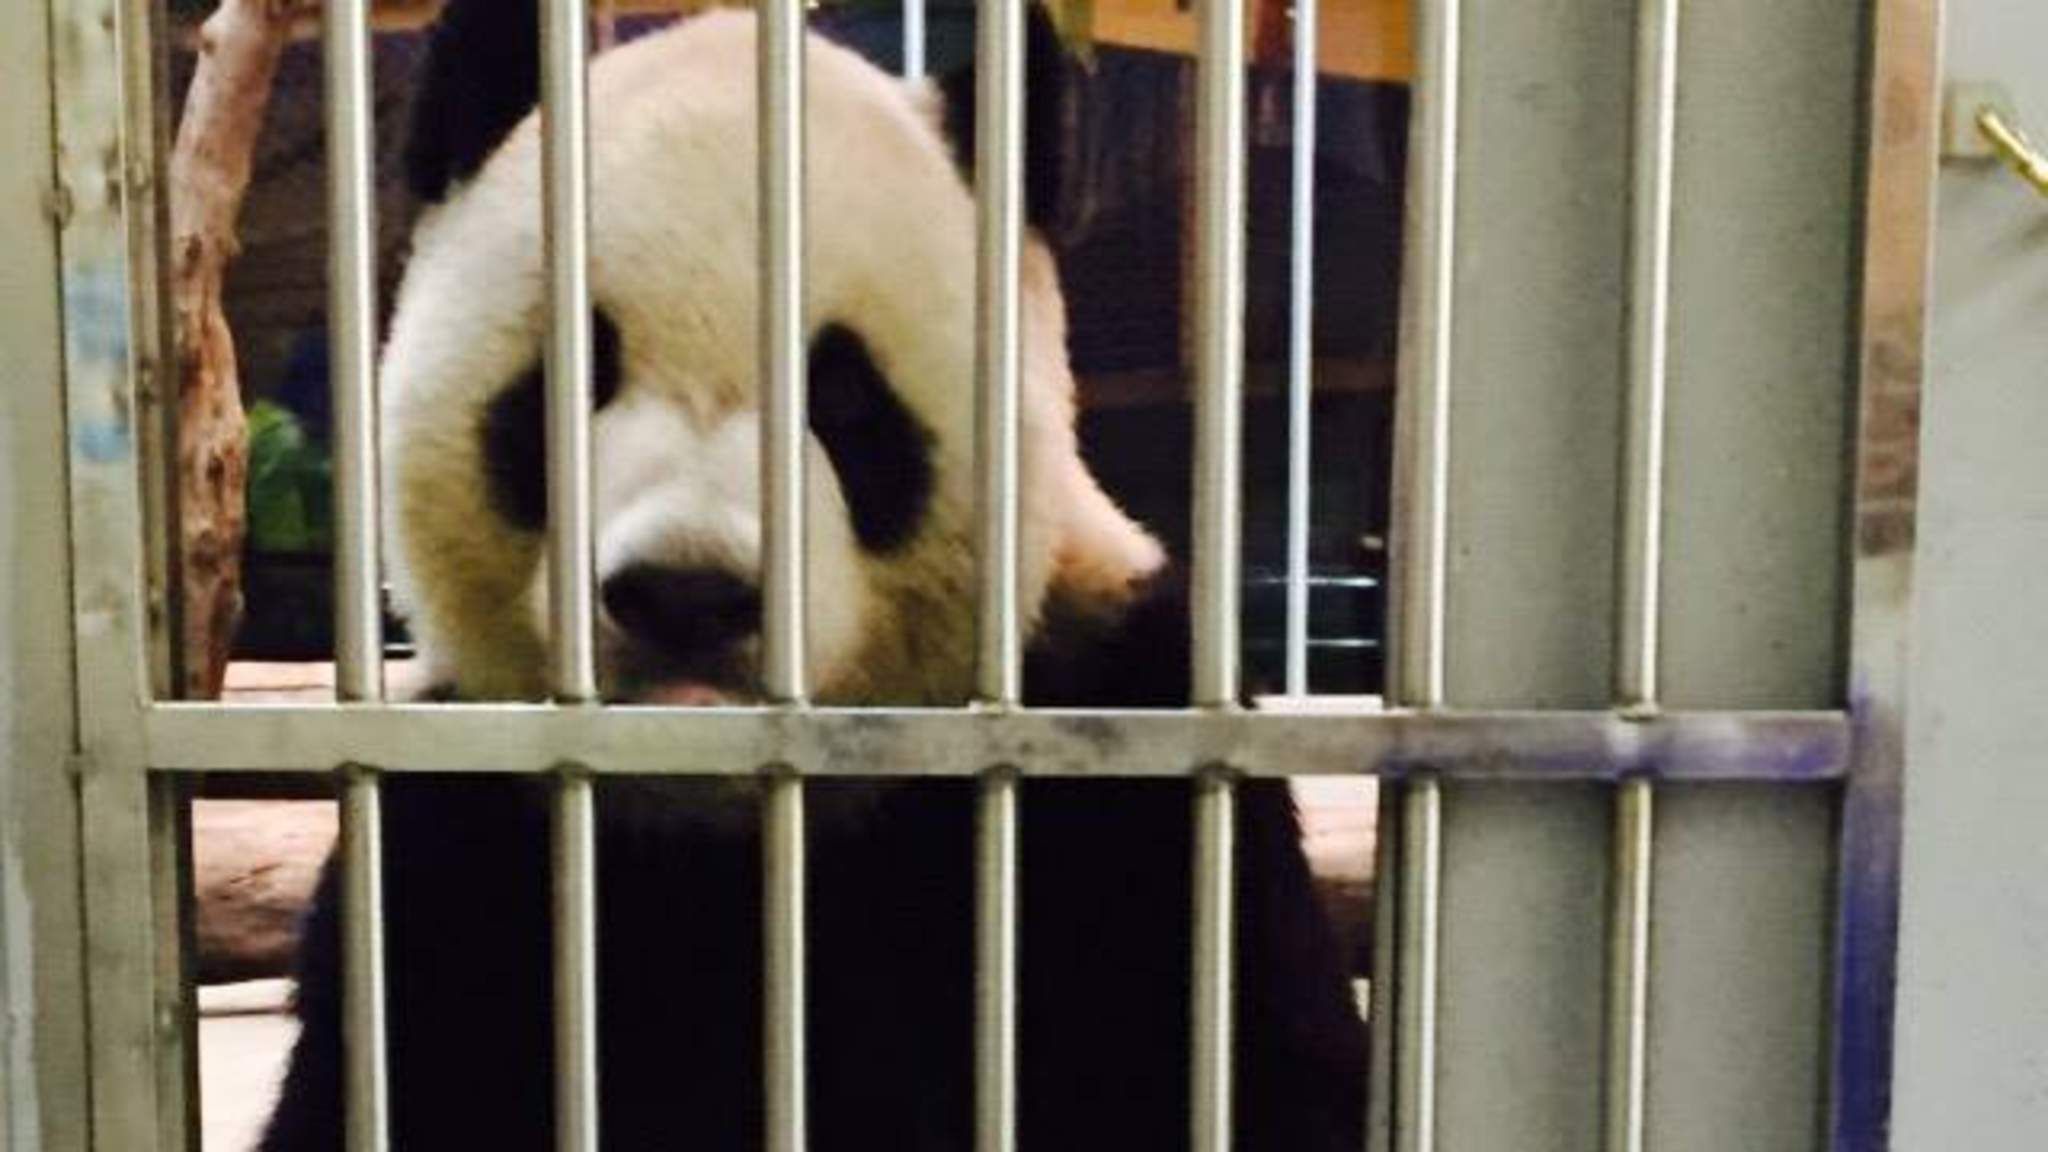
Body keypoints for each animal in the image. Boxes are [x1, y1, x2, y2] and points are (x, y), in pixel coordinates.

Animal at [259, 2, 1368, 1148]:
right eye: (574, 381)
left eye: (842, 398)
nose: (686, 597)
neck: (727, 820)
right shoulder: (448, 836)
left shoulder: (1129, 752)